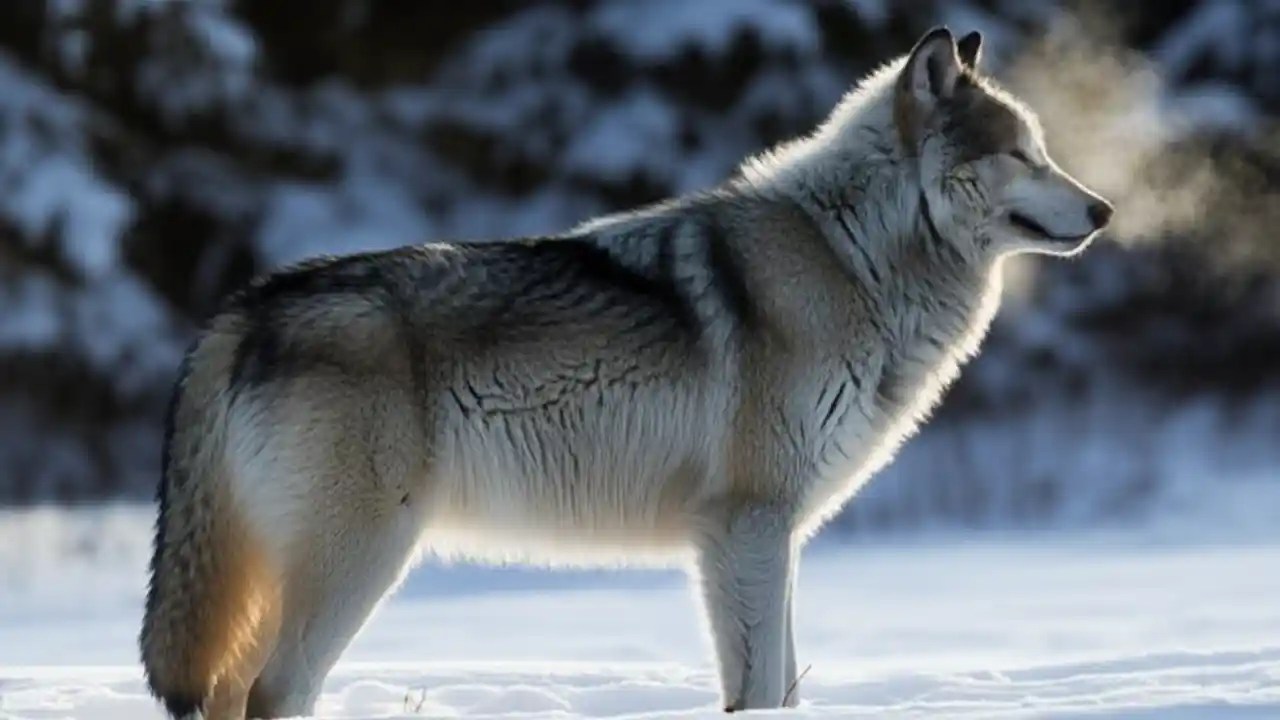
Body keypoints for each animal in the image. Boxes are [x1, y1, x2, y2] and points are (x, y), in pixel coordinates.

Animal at [141, 27, 1112, 718]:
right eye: (1023, 154)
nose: (1106, 209)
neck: (852, 255)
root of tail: (247, 305)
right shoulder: (746, 527)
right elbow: (760, 691)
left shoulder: (774, 534)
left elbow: (786, 686)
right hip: (360, 561)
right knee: (273, 694)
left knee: (229, 694)